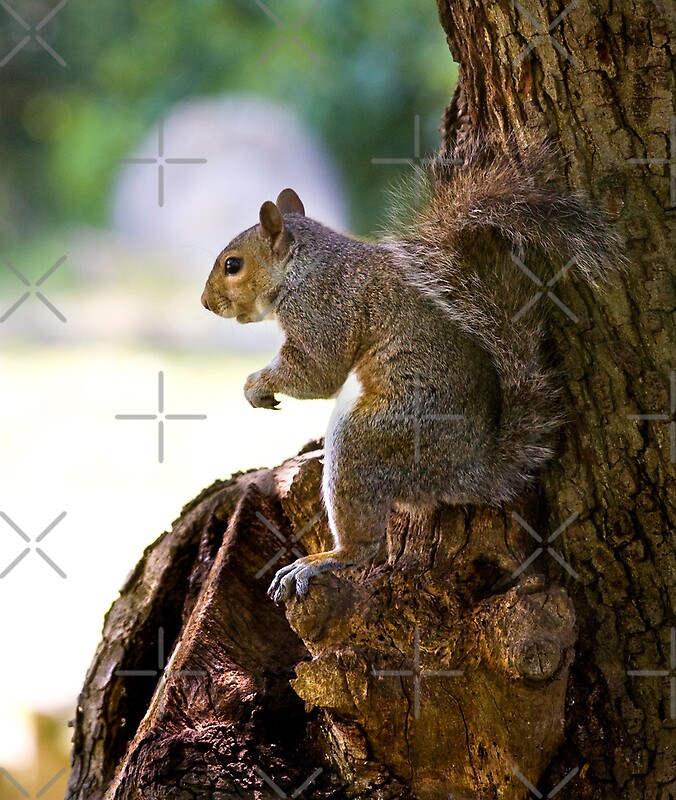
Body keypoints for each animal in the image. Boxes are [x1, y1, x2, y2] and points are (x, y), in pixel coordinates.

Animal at [201, 139, 622, 602]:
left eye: (233, 265)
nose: (205, 303)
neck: (305, 266)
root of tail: (470, 469)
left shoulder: (322, 310)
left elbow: (319, 372)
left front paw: (255, 384)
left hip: (374, 440)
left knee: (364, 545)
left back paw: (321, 560)